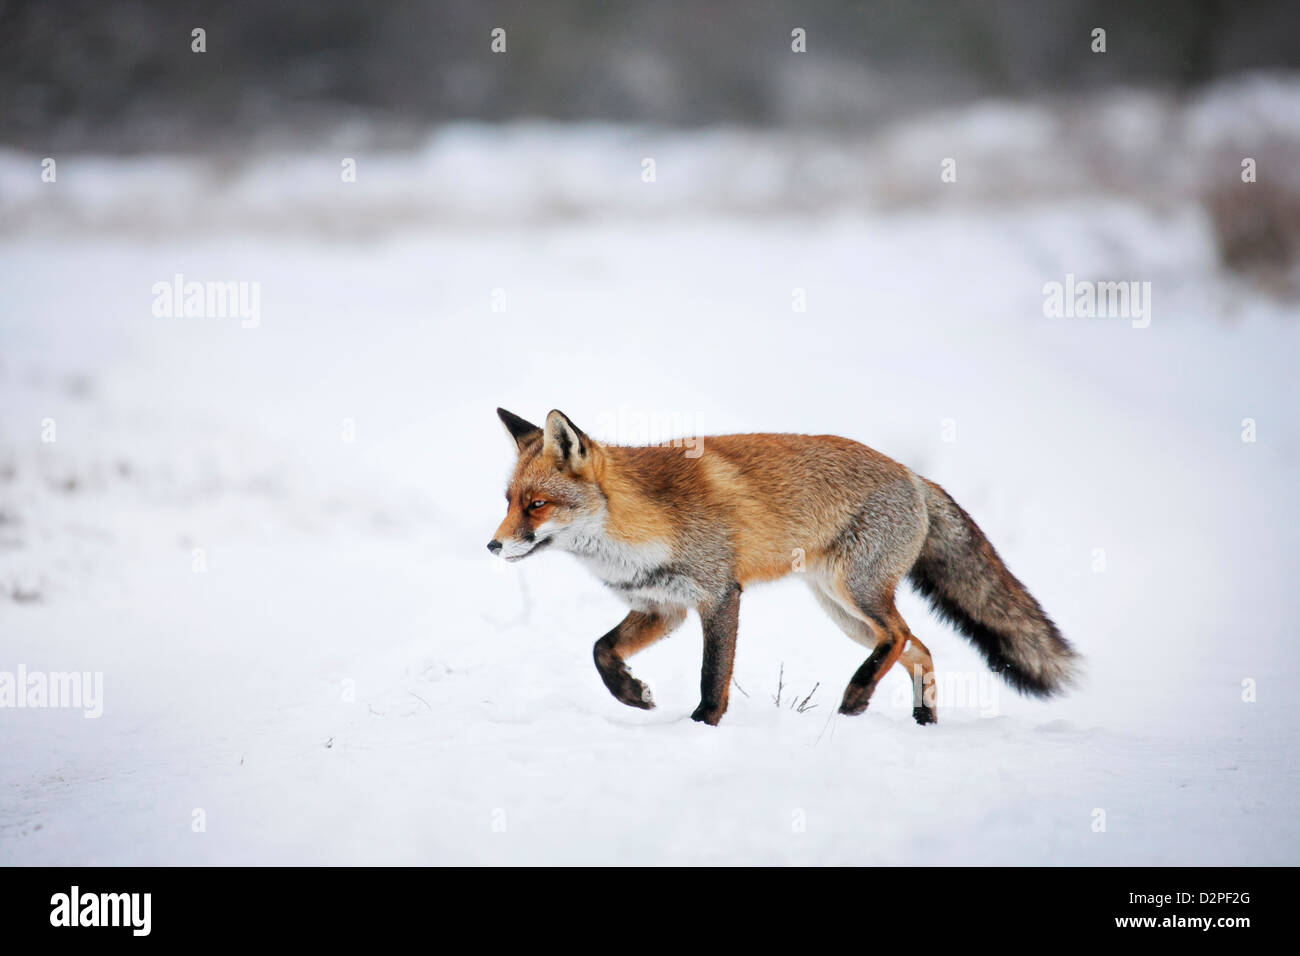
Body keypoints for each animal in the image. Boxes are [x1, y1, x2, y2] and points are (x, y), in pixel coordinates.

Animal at [488, 408, 1078, 726]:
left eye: (537, 505)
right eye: (508, 501)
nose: (492, 547)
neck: (640, 524)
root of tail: (913, 475)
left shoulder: (719, 595)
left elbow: (712, 677)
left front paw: (700, 728)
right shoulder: (662, 607)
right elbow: (601, 652)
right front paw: (633, 695)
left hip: (855, 592)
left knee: (901, 634)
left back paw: (857, 695)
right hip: (842, 612)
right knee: (920, 649)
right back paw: (922, 721)